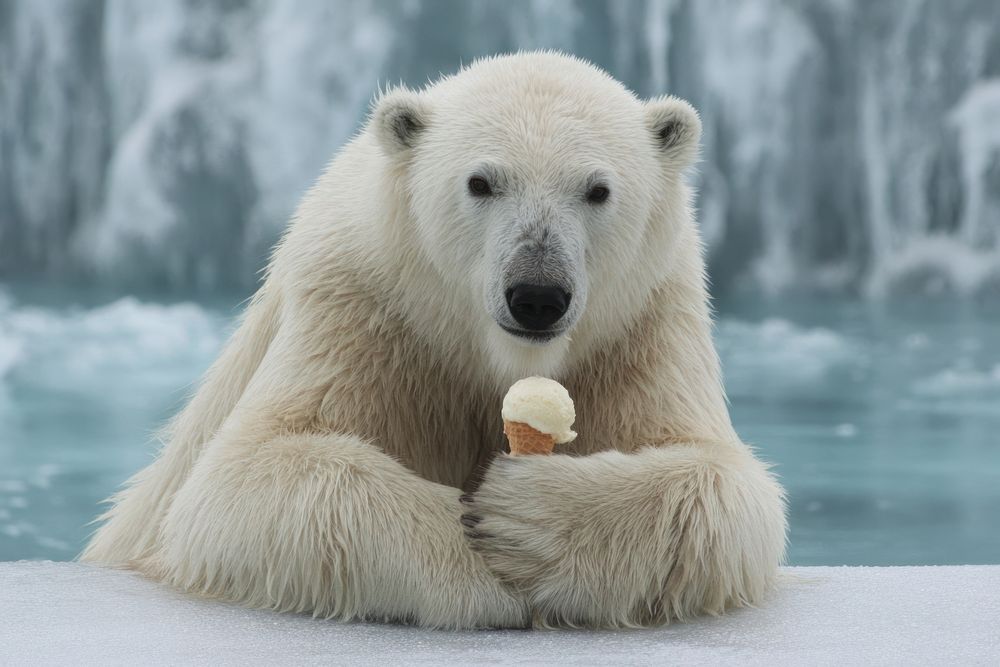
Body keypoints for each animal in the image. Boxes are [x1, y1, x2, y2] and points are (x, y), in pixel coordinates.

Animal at [82, 51, 787, 629]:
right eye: (481, 181)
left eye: (598, 189)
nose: (537, 295)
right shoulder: (361, 310)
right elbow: (243, 478)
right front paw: (480, 569)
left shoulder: (643, 324)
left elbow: (718, 481)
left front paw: (526, 521)